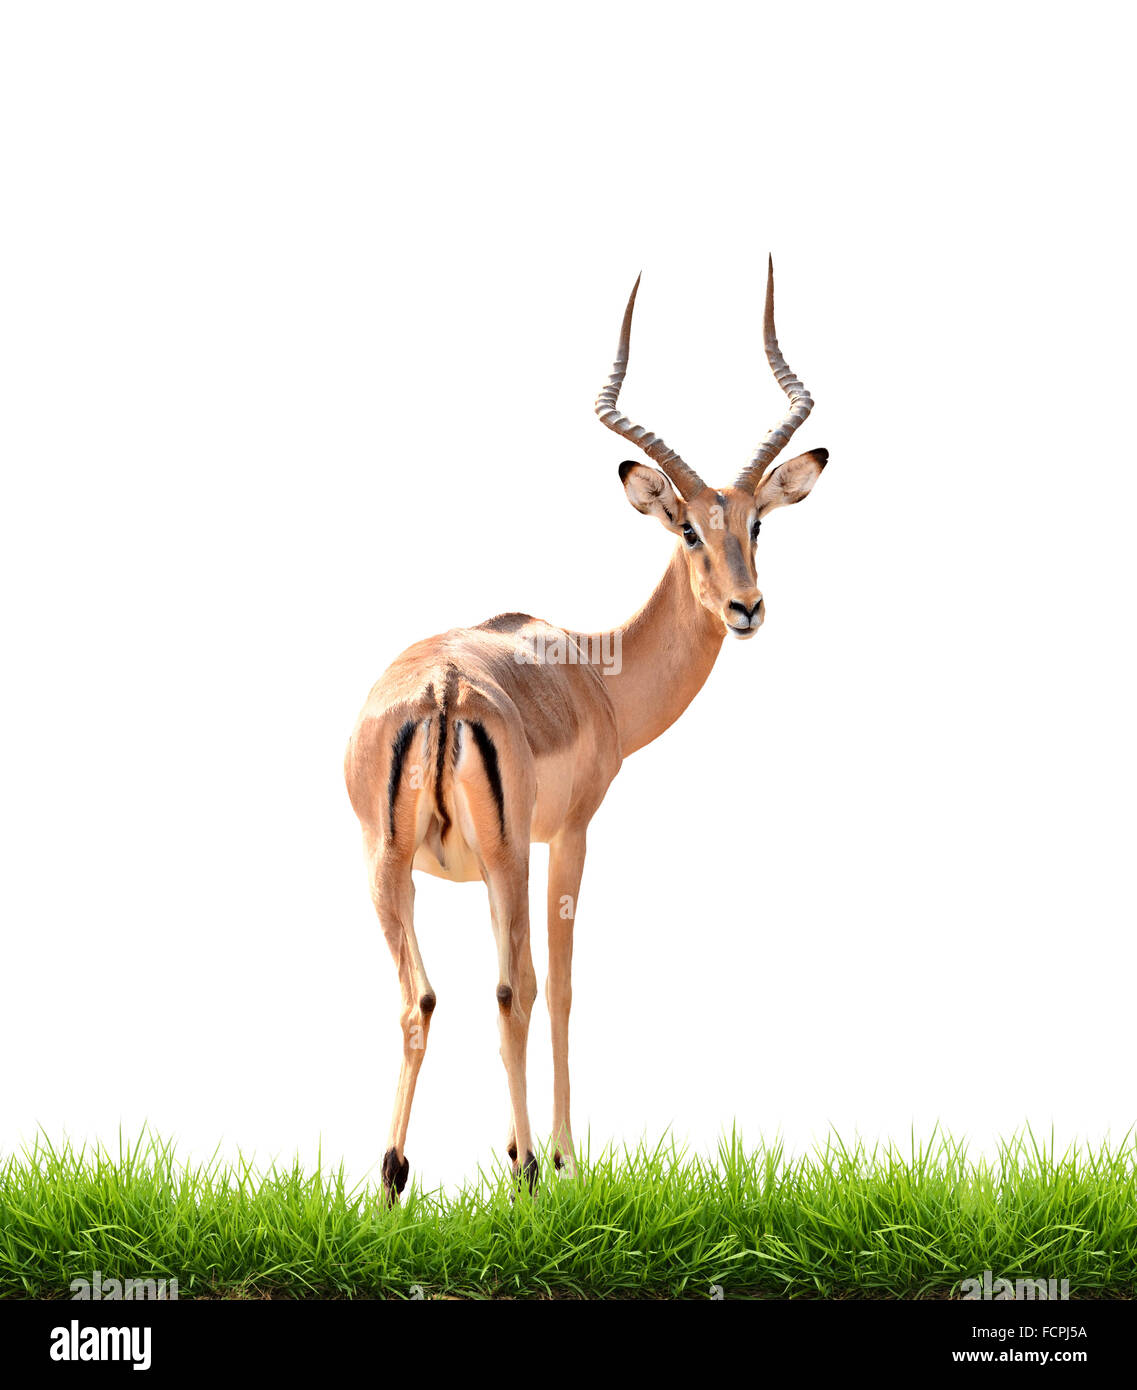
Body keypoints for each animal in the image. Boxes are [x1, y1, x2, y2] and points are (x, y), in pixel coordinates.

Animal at [345, 258, 829, 1201]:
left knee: (420, 997)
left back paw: (391, 1178)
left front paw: (514, 1146)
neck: (596, 677)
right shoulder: (565, 836)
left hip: (388, 865)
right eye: (688, 528)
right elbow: (559, 984)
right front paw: (560, 1154)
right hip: (499, 859)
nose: (746, 608)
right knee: (512, 989)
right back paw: (532, 1171)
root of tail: (444, 687)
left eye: (755, 522)